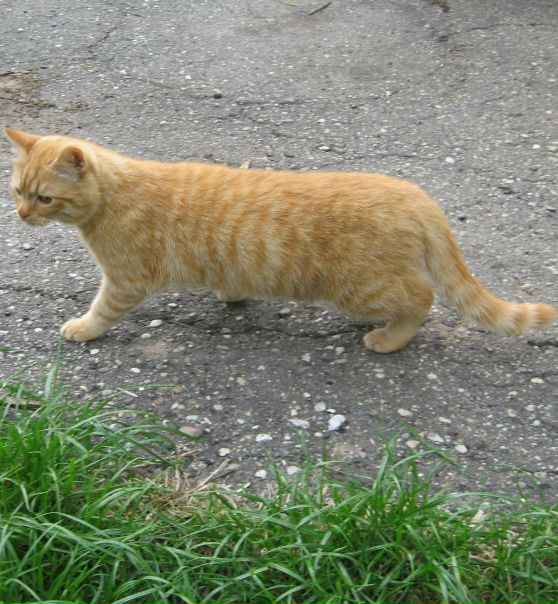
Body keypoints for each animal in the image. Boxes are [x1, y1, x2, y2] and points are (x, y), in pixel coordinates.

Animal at [5, 127, 557, 353]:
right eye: (16, 191)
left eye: (45, 198)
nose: (21, 214)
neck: (116, 193)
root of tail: (414, 194)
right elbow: (229, 280)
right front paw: (231, 295)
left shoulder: (124, 280)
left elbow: (101, 310)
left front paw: (82, 328)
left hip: (361, 288)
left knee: (421, 299)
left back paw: (389, 339)